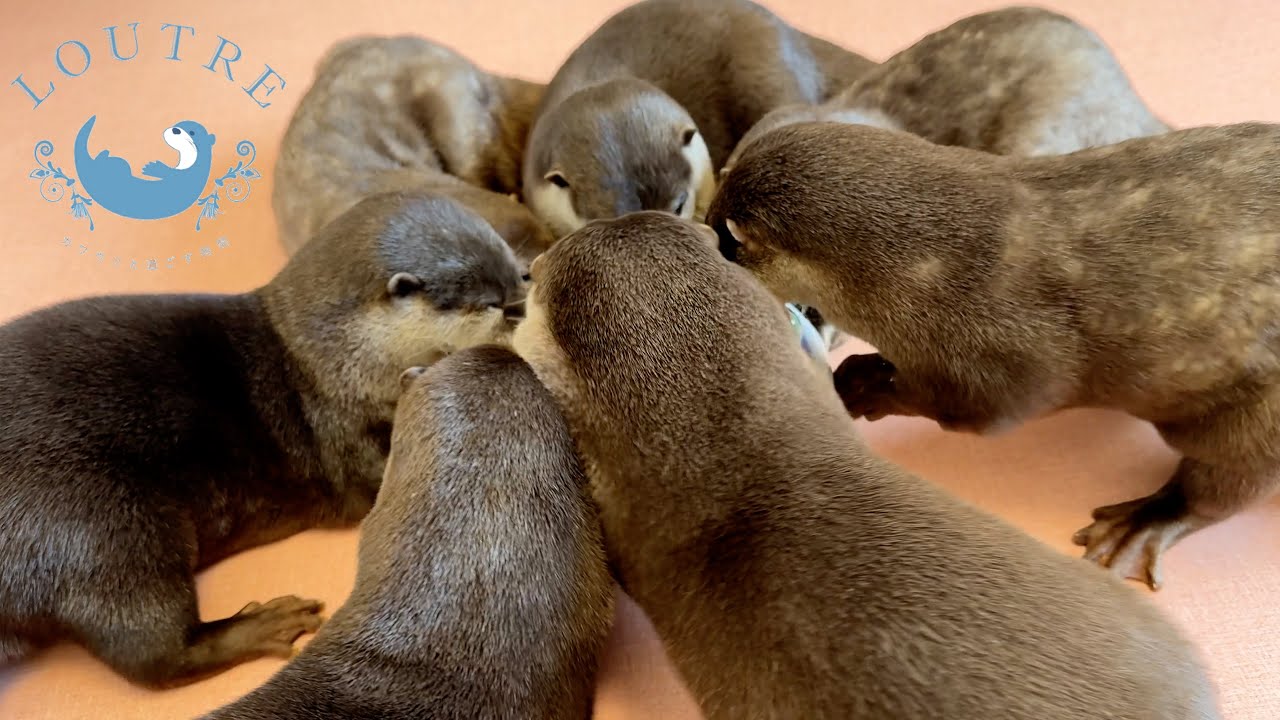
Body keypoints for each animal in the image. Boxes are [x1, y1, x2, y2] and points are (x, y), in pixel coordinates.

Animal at [0, 190, 525, 687]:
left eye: (519, 275)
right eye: (493, 305)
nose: (522, 307)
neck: (327, 360)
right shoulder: (338, 428)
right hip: (100, 527)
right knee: (152, 652)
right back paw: (264, 624)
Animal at [710, 120, 1280, 590]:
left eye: (725, 241)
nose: (700, 235)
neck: (938, 266)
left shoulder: (1004, 354)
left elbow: (978, 408)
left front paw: (861, 383)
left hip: (1253, 419)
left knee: (1221, 486)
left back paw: (1140, 524)